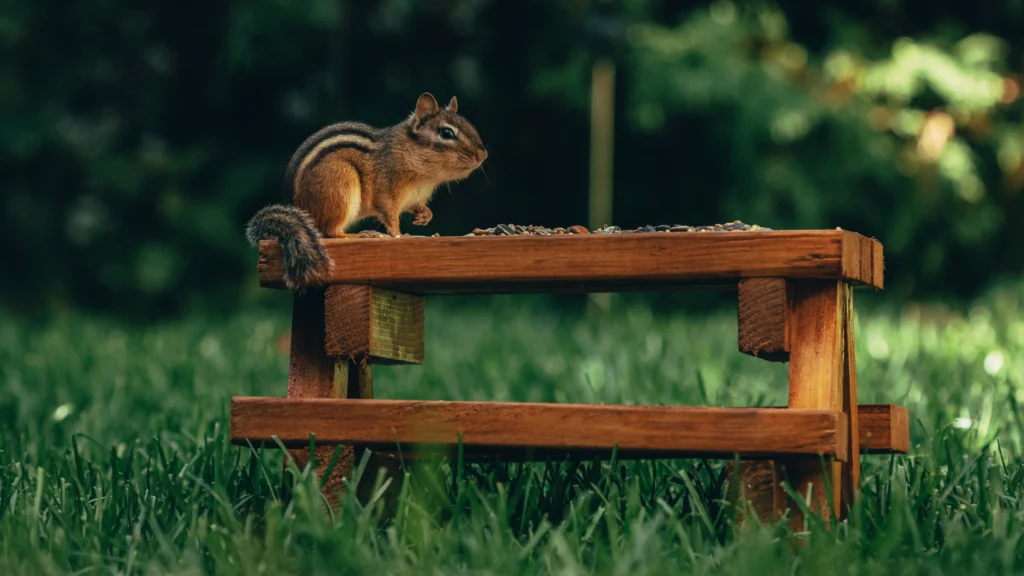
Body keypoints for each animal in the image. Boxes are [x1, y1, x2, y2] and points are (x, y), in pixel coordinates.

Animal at [245, 92, 488, 290]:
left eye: (469, 126)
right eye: (447, 133)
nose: (483, 154)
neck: (427, 175)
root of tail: (297, 208)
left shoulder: (415, 196)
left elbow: (415, 207)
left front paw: (424, 216)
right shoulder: (385, 188)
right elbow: (389, 214)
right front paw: (399, 235)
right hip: (341, 187)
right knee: (329, 232)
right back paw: (359, 234)